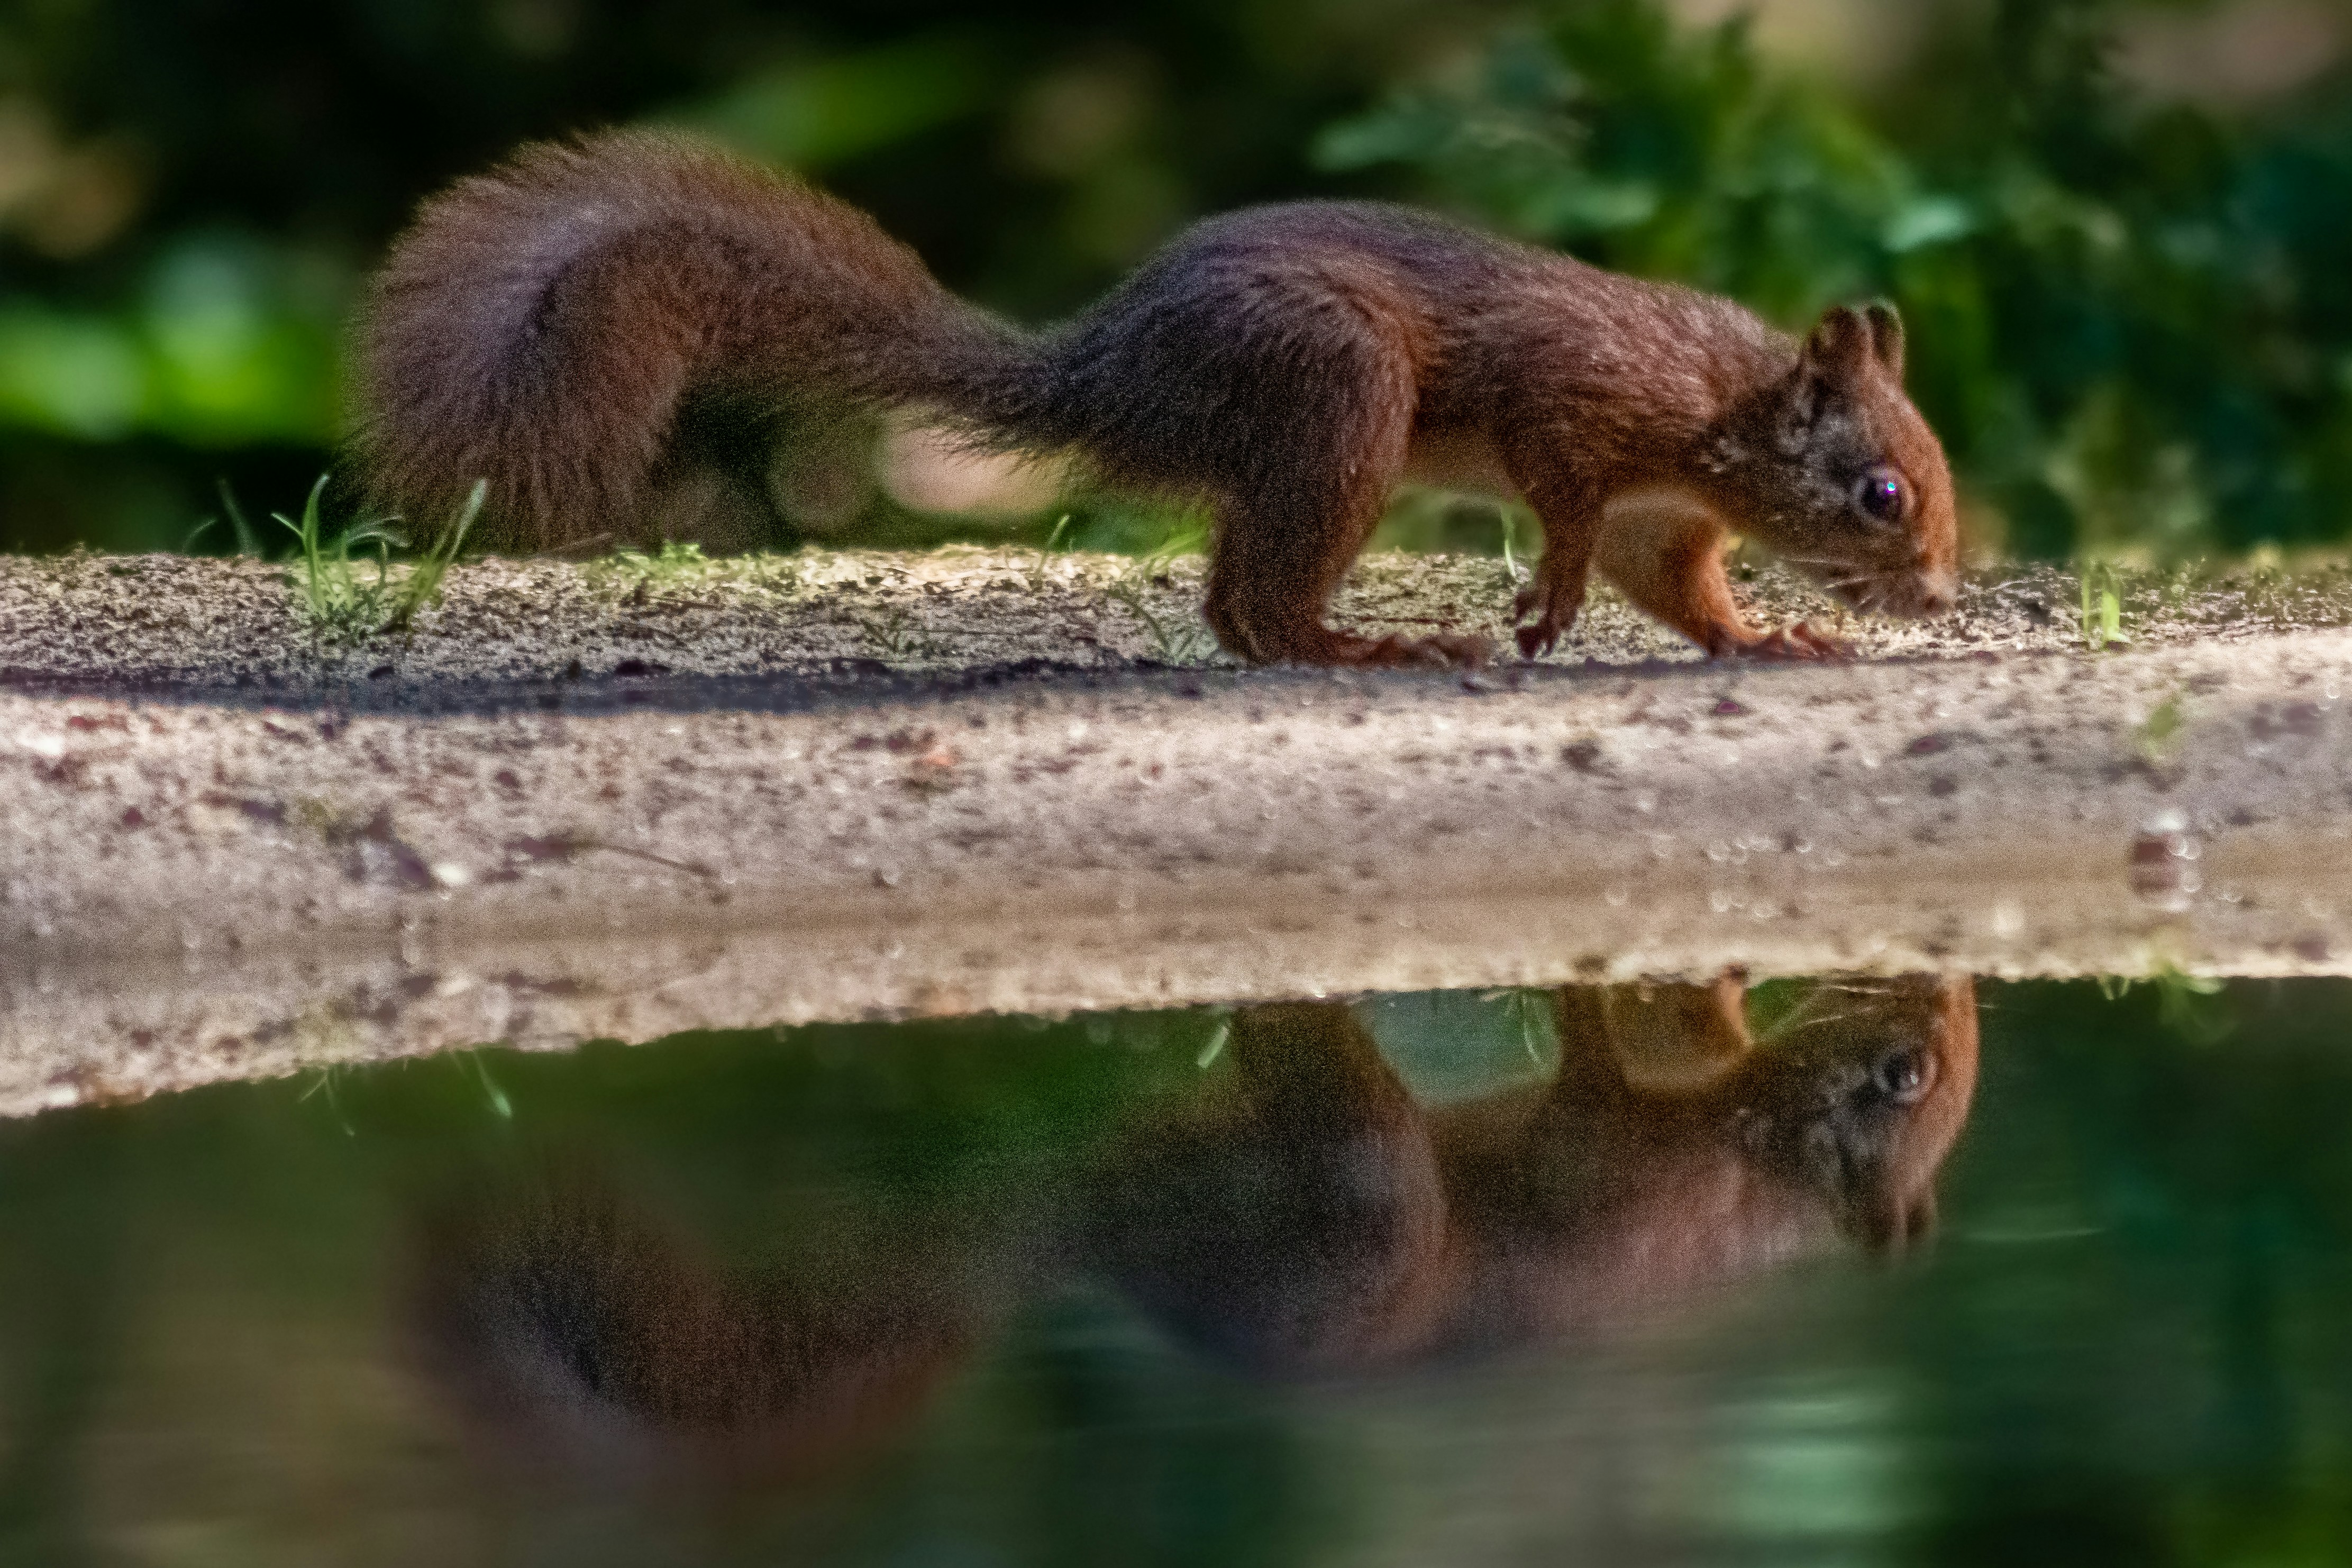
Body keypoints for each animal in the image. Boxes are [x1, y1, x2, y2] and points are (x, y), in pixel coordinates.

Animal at [360, 130, 1961, 668]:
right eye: (1878, 491)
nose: (1941, 595)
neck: (1718, 412)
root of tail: (1103, 368)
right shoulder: (1577, 410)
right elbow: (1564, 504)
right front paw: (1547, 600)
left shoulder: (1662, 521)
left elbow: (1678, 589)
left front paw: (1769, 635)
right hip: (1339, 395)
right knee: (1260, 602)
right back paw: (1358, 647)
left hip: (1296, 443)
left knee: (1226, 597)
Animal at [406, 976, 1974, 1488]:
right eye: (1907, 1081)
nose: (1942, 1005)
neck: (1752, 1182)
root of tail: (1103, 1244)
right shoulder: (1616, 1162)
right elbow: (1597, 1079)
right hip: (1371, 1217)